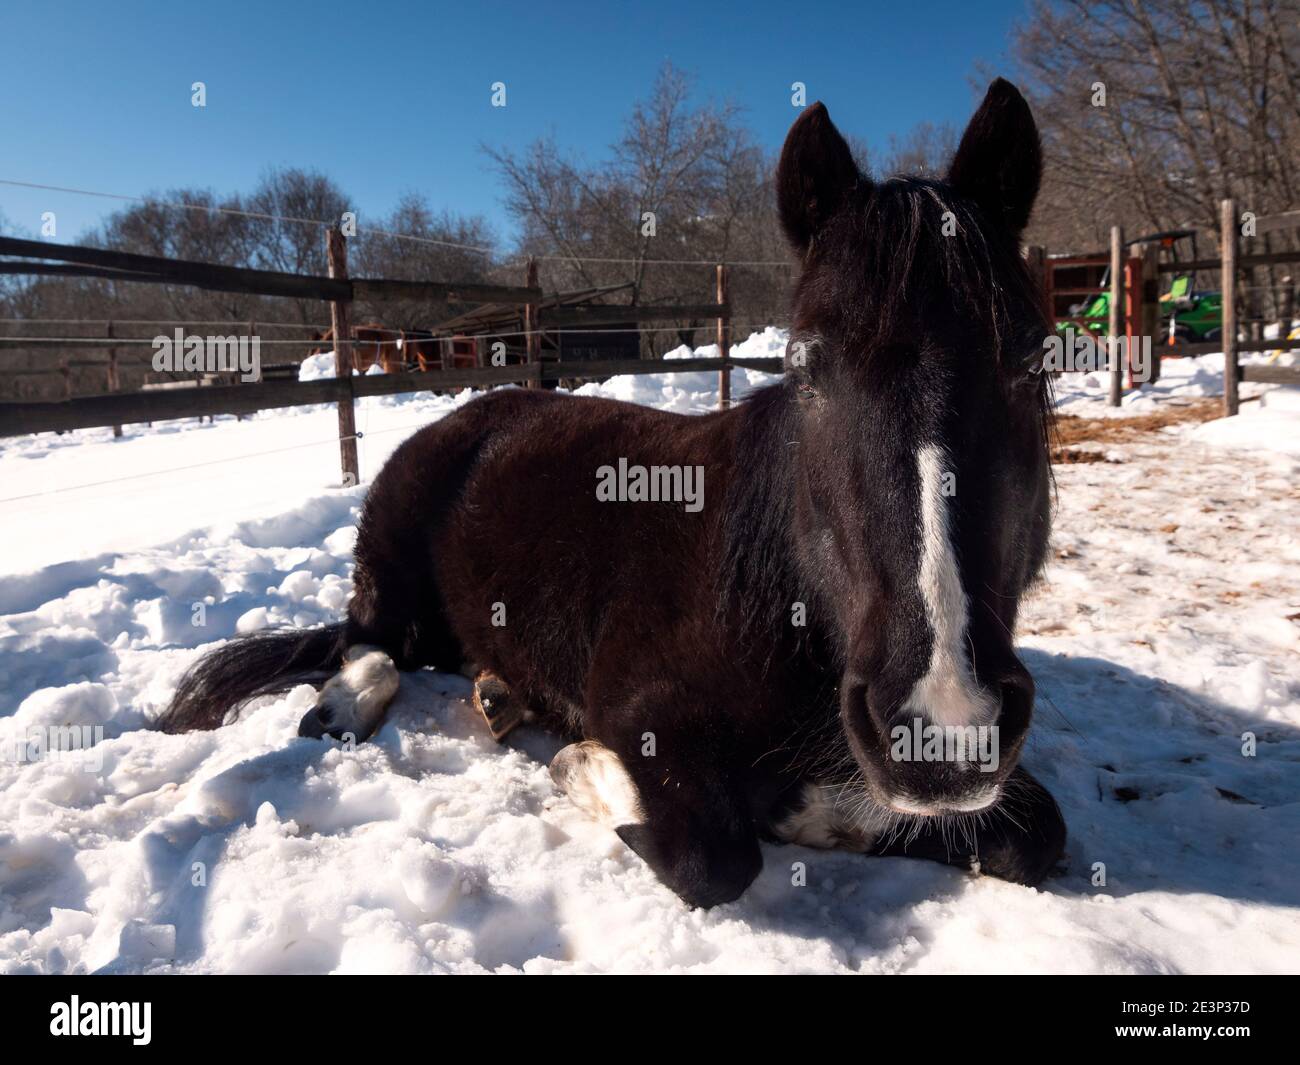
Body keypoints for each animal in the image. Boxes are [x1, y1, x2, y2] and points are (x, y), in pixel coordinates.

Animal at [160, 79, 1066, 909]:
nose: (942, 720)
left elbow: (1035, 835)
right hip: (389, 574)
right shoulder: (639, 707)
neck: (774, 584)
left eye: (1031, 358)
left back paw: (494, 691)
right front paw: (592, 767)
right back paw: (349, 708)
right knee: (368, 643)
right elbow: (709, 855)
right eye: (806, 365)